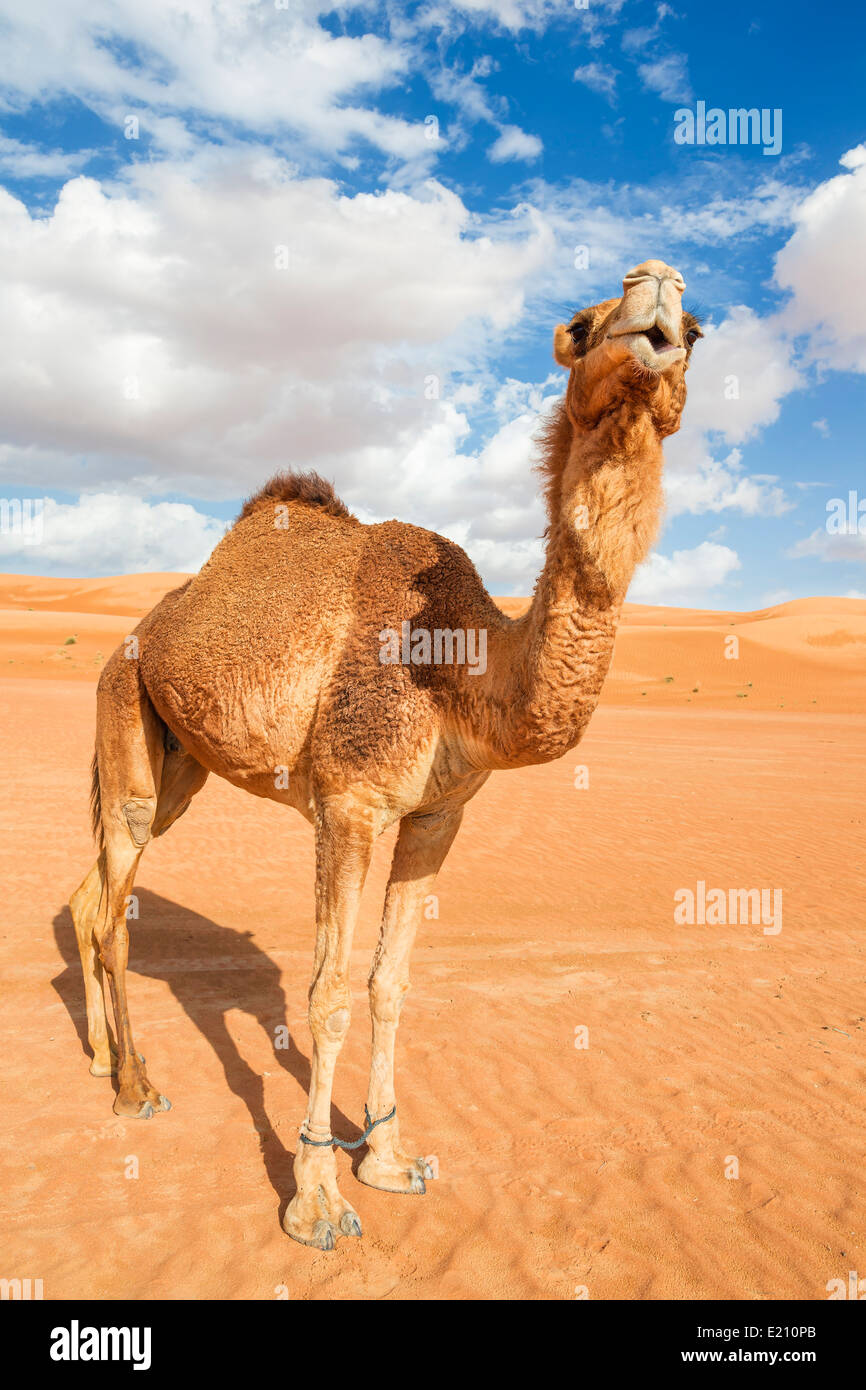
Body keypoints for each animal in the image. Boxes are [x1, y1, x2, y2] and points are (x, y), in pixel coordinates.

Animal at [70, 259, 701, 1250]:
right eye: (581, 322)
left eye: (699, 331)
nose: (657, 286)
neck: (460, 665)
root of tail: (127, 640)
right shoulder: (352, 805)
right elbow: (326, 992)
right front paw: (316, 1199)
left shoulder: (437, 816)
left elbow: (391, 984)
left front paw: (391, 1157)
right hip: (124, 717)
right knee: (111, 909)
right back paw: (136, 1088)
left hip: (179, 764)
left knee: (91, 892)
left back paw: (102, 1061)